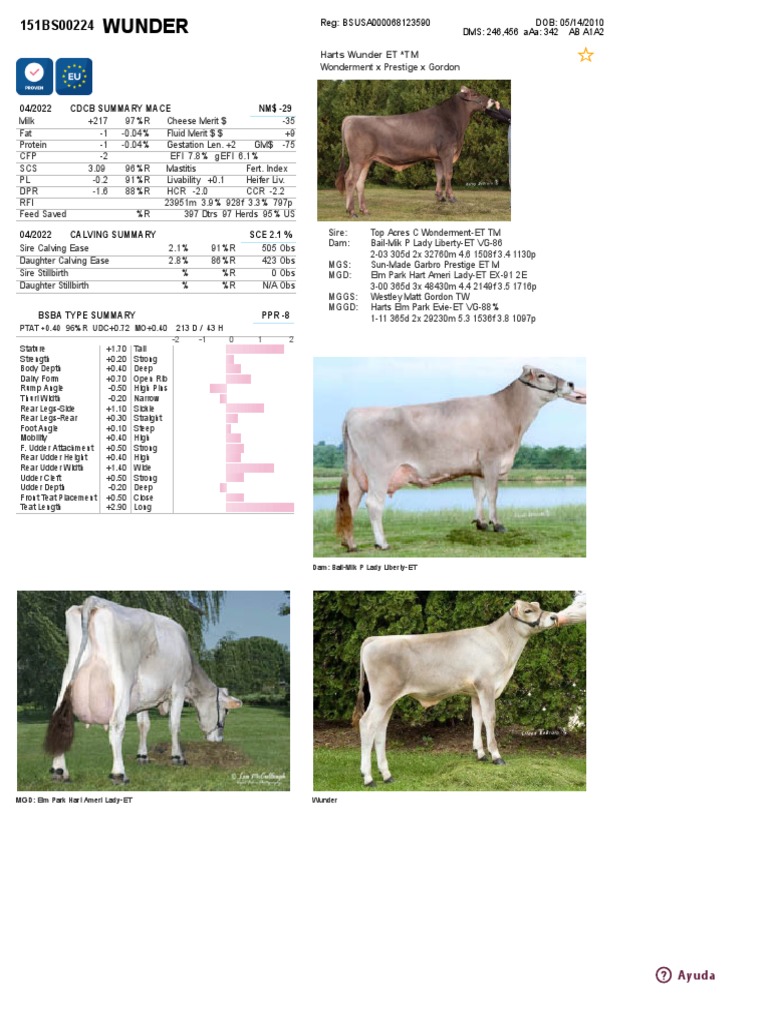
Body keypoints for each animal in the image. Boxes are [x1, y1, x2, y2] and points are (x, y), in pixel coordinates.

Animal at [44, 596, 242, 784]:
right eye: (226, 711)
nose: (219, 739)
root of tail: (95, 601)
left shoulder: (144, 696)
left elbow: (143, 725)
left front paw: (142, 756)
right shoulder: (178, 688)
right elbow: (175, 725)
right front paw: (178, 756)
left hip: (67, 680)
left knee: (59, 721)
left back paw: (59, 770)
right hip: (122, 681)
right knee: (116, 725)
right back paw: (118, 774)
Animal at [335, 86, 500, 216]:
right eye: (475, 94)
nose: (492, 101)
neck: (454, 122)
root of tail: (351, 118)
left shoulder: (437, 157)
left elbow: (439, 175)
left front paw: (440, 197)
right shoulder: (447, 151)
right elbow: (448, 174)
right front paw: (451, 198)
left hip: (367, 160)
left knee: (360, 182)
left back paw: (364, 210)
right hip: (357, 158)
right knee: (350, 179)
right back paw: (351, 211)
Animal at [335, 365, 586, 551]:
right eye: (542, 375)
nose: (571, 384)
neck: (507, 413)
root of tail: (355, 412)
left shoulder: (477, 467)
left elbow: (479, 494)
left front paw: (481, 523)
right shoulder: (491, 459)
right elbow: (493, 494)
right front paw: (498, 525)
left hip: (357, 474)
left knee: (351, 505)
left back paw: (351, 544)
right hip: (379, 471)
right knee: (373, 503)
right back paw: (382, 543)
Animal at [352, 599, 558, 786]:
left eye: (538, 606)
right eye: (528, 610)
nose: (554, 617)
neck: (503, 647)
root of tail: (374, 639)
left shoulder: (475, 691)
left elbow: (477, 718)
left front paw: (480, 753)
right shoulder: (487, 686)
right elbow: (490, 718)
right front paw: (496, 755)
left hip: (389, 700)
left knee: (380, 729)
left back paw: (386, 775)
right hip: (381, 697)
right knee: (367, 724)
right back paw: (368, 777)